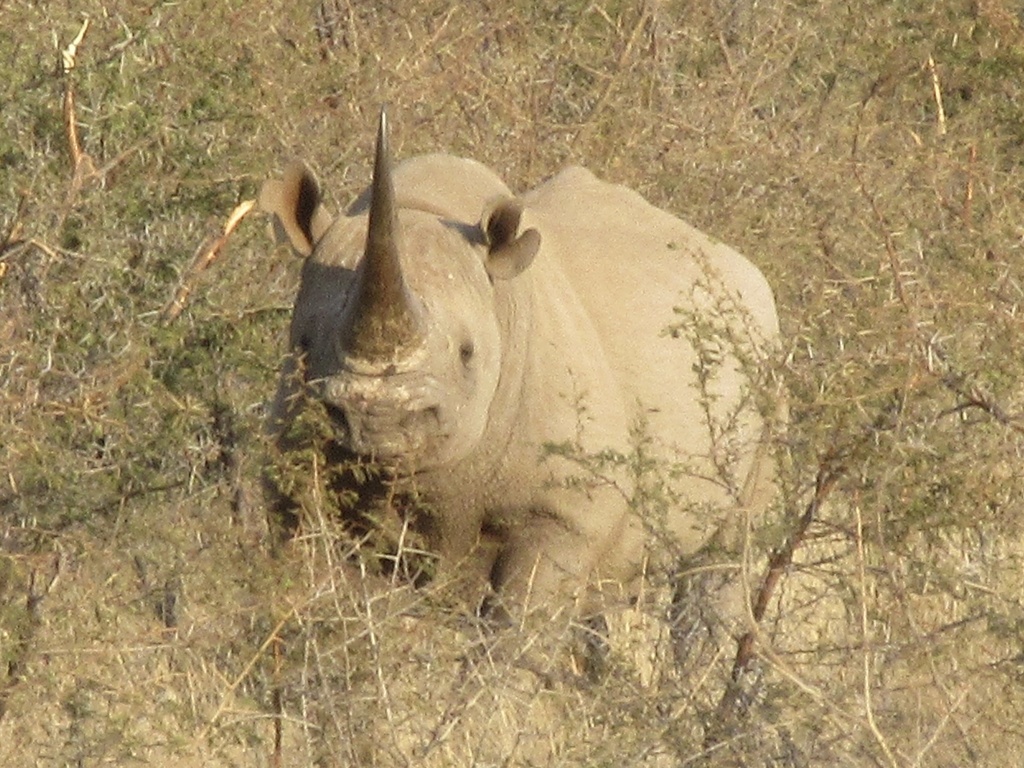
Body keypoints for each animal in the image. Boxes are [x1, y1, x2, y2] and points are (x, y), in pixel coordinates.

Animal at [260, 109, 781, 620]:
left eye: (468, 353)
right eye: (302, 346)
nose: (377, 420)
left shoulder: (565, 514)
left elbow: (521, 622)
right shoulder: (292, 485)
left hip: (767, 366)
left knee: (729, 555)